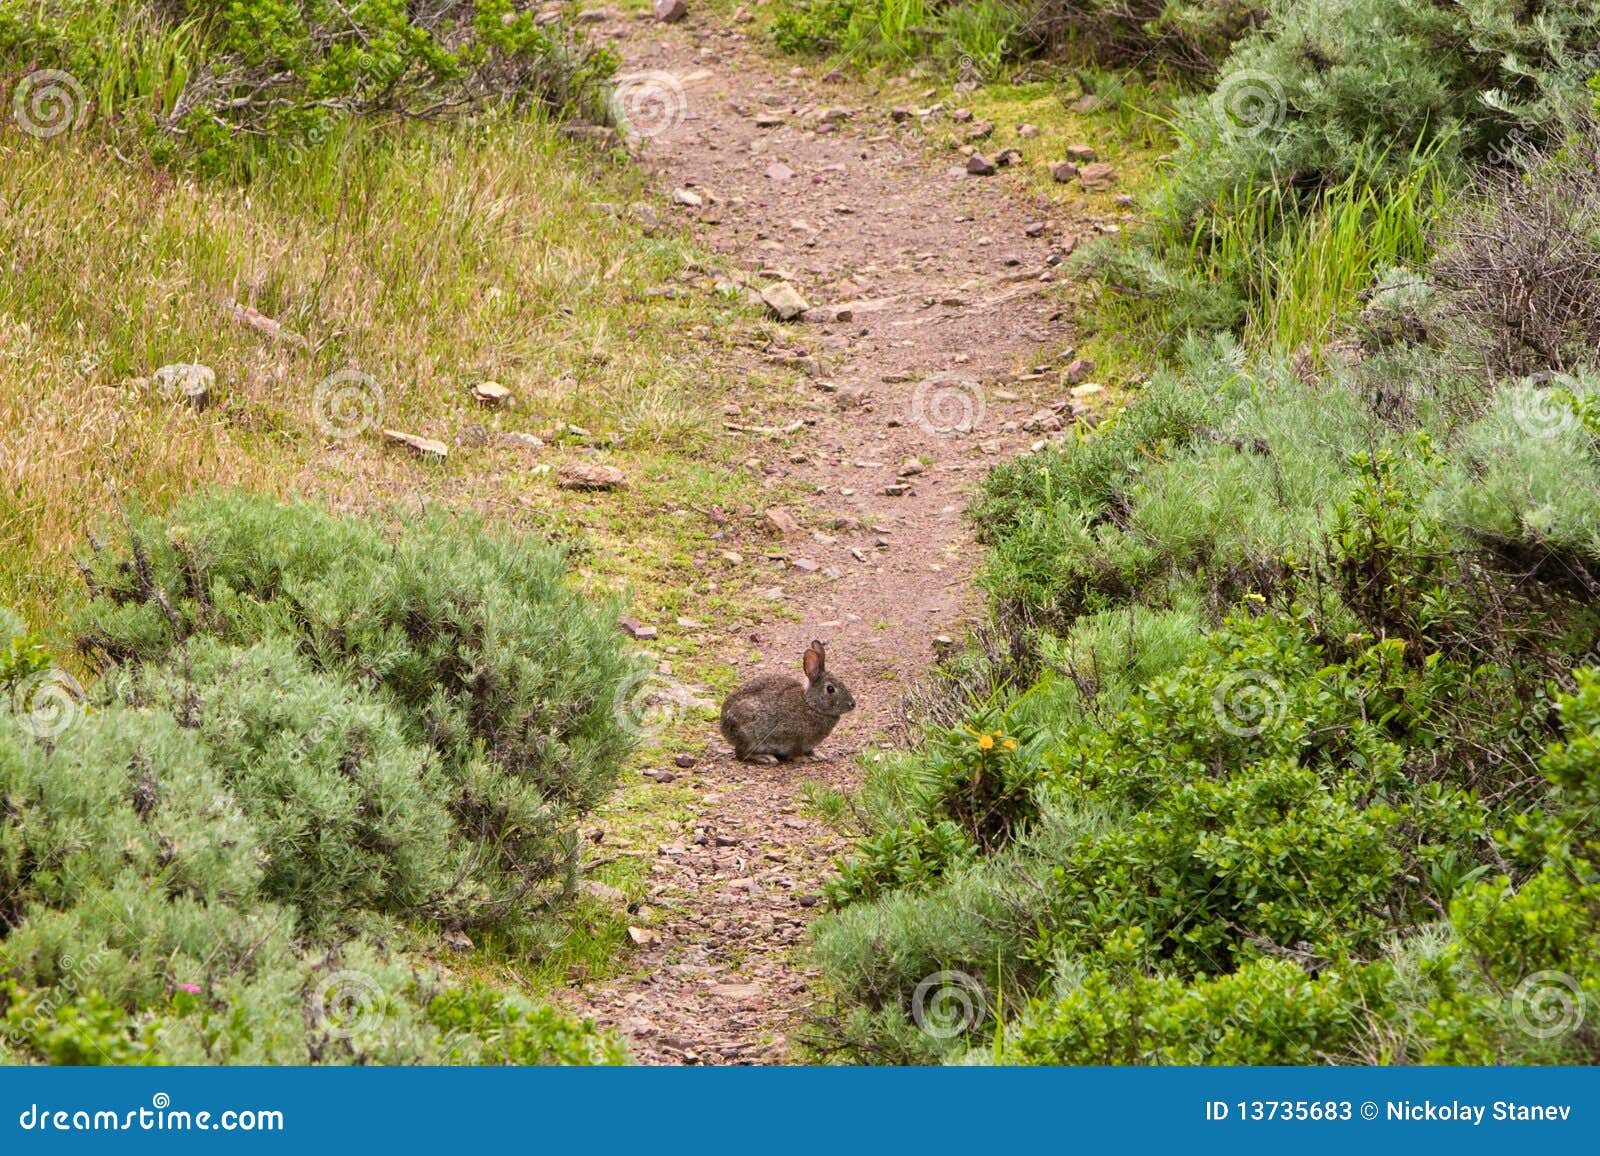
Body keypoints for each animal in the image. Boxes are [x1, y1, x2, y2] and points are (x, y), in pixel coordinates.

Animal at [720, 639, 856, 762]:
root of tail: (723, 727)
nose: (852, 704)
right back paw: (765, 757)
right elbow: (795, 752)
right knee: (741, 754)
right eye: (830, 689)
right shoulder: (794, 738)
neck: (811, 705)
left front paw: (818, 755)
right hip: (749, 735)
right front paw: (805, 758)